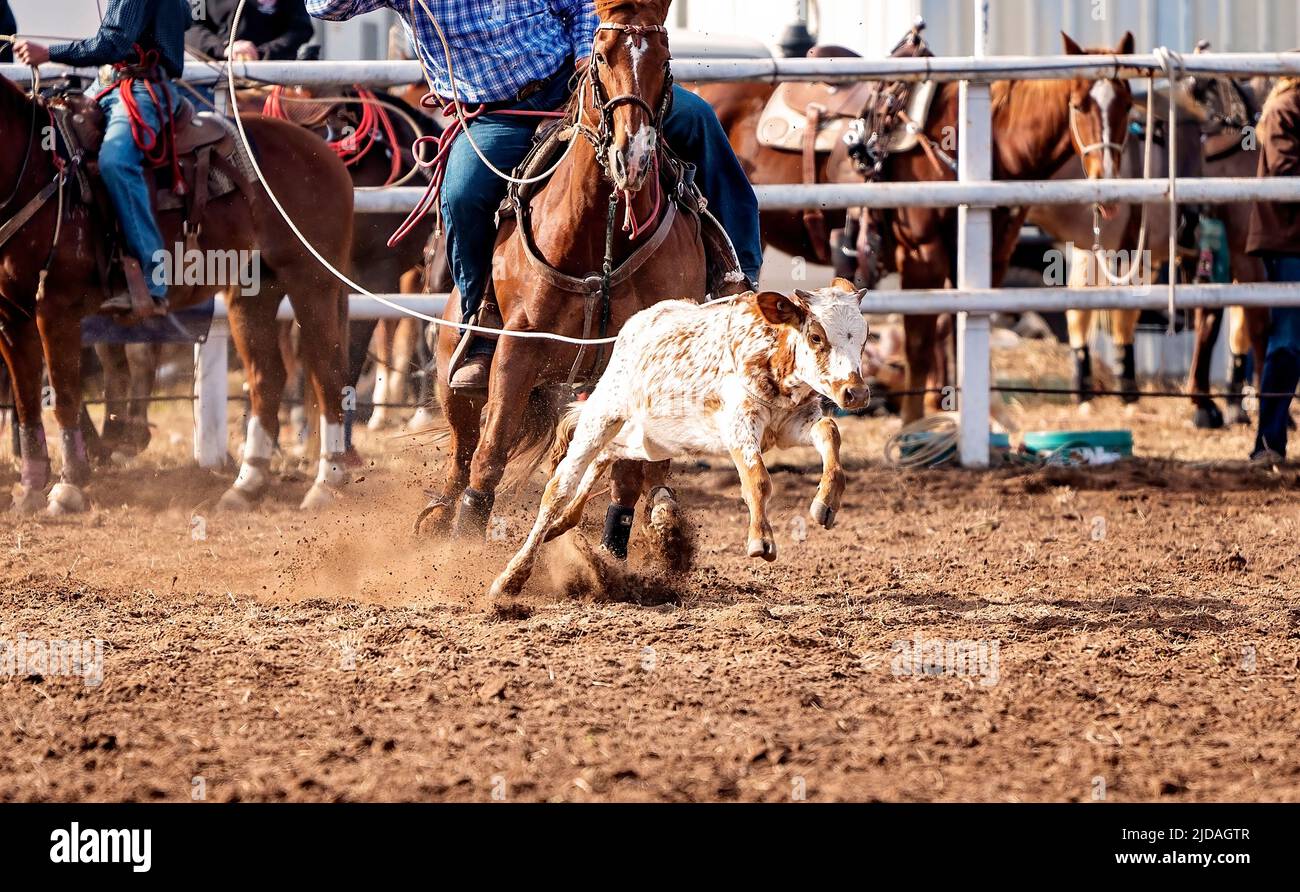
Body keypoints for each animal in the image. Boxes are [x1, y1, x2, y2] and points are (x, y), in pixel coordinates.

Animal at [488, 279, 871, 602]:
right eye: (817, 337)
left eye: (863, 337)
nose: (855, 393)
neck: (769, 355)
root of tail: (635, 326)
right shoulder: (739, 425)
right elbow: (758, 480)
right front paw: (761, 540)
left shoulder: (794, 423)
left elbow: (829, 432)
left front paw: (825, 504)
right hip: (604, 414)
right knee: (559, 487)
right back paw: (510, 578)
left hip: (647, 437)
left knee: (605, 457)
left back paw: (563, 525)